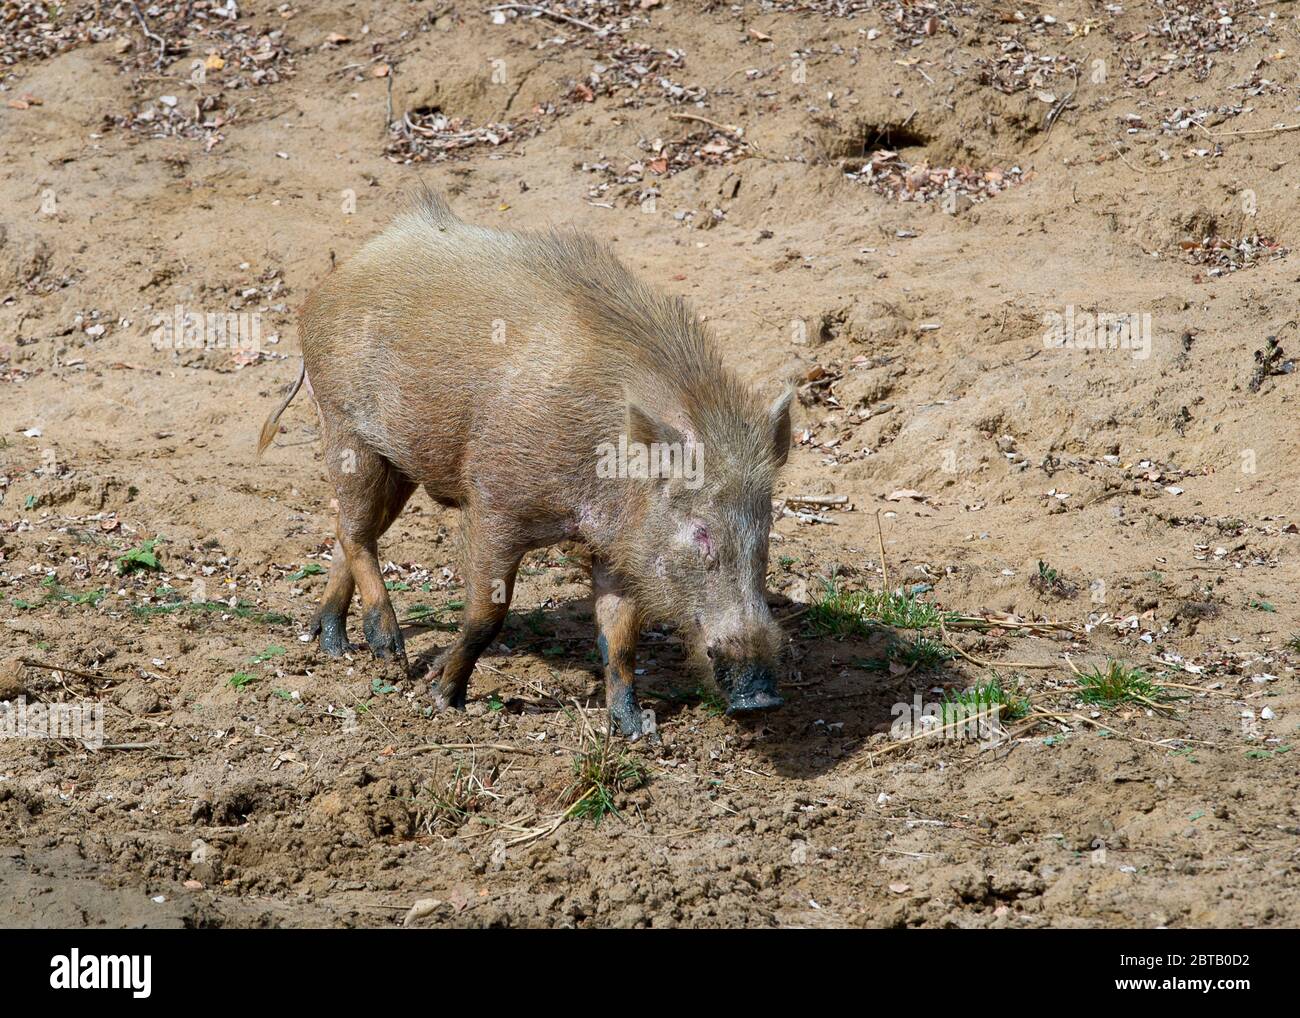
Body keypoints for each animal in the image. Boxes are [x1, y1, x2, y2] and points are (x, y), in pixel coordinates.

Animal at [259, 189, 793, 738]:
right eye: (700, 531)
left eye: (765, 530)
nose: (763, 699)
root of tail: (337, 276)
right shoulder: (495, 506)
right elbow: (487, 613)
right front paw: (441, 698)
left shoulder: (619, 544)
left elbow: (620, 635)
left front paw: (635, 730)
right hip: (345, 428)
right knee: (353, 530)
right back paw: (389, 652)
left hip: (402, 462)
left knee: (347, 532)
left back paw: (334, 645)